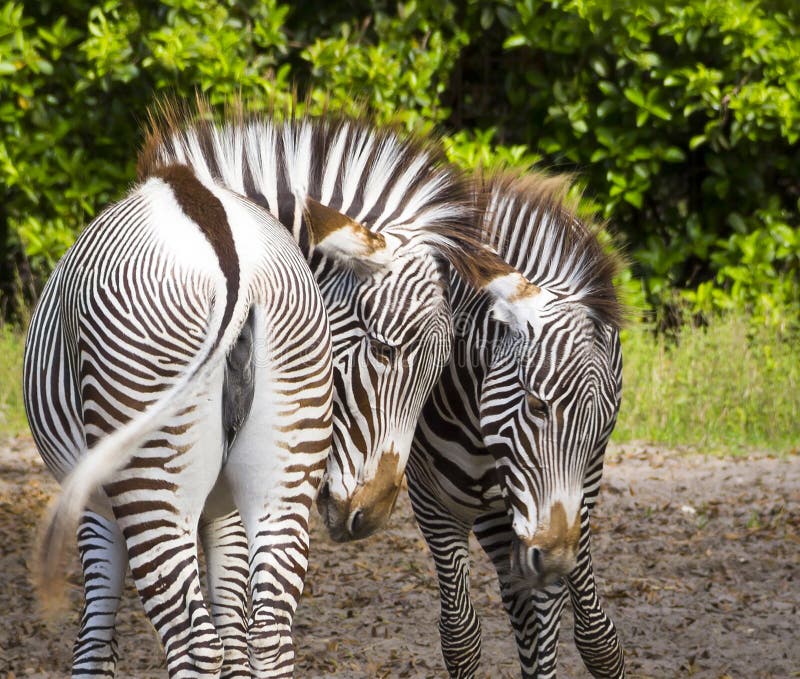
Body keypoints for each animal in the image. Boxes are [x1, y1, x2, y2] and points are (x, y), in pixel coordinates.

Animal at [25, 163, 334, 678]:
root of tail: (234, 267)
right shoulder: (225, 512)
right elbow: (234, 631)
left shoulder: (94, 502)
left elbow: (95, 640)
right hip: (287, 462)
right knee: (269, 635)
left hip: (148, 468)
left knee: (195, 643)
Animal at [405, 171, 626, 678]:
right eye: (537, 405)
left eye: (605, 422)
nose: (556, 559)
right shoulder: (430, 500)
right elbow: (460, 637)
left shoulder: (577, 495)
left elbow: (585, 634)